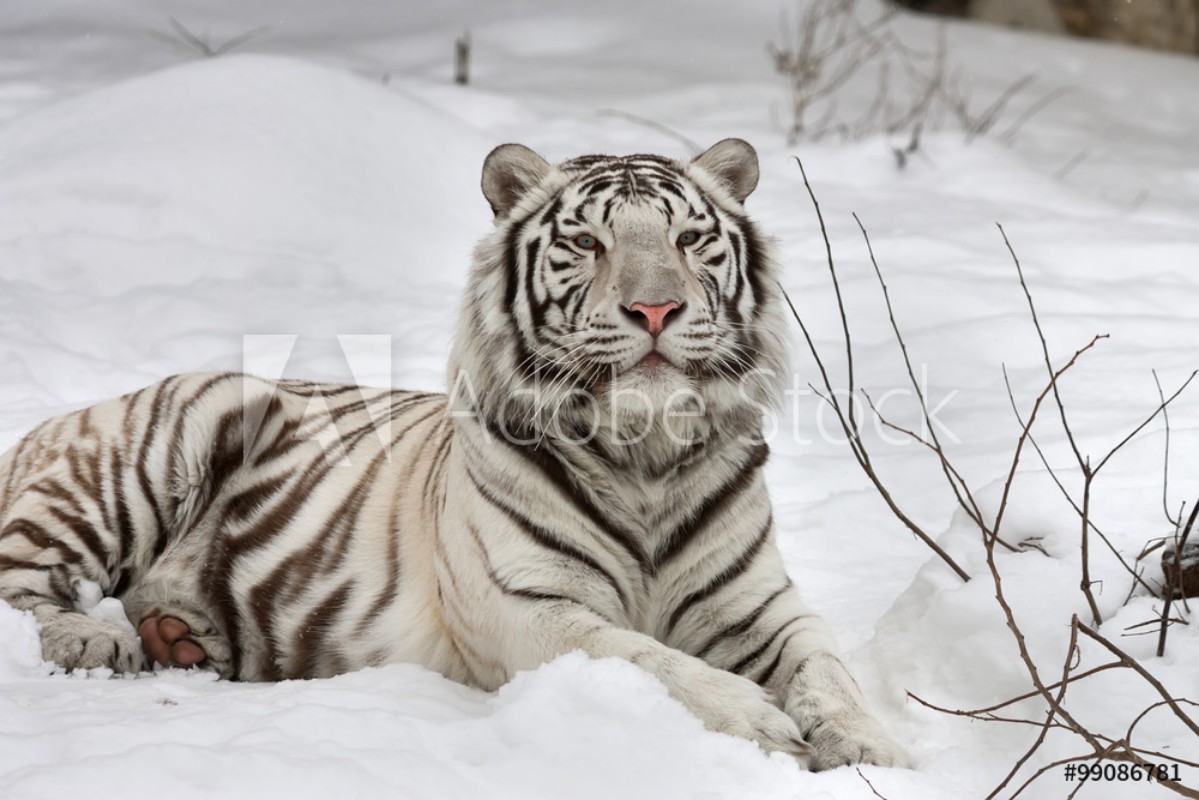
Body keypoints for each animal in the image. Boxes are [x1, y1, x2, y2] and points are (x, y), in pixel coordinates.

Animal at [0, 138, 908, 771]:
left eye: (689, 239)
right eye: (588, 244)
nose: (656, 309)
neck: (645, 452)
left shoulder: (760, 607)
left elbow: (827, 669)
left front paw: (873, 748)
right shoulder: (529, 607)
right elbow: (650, 661)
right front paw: (761, 723)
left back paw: (181, 637)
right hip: (158, 449)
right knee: (24, 583)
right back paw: (95, 641)